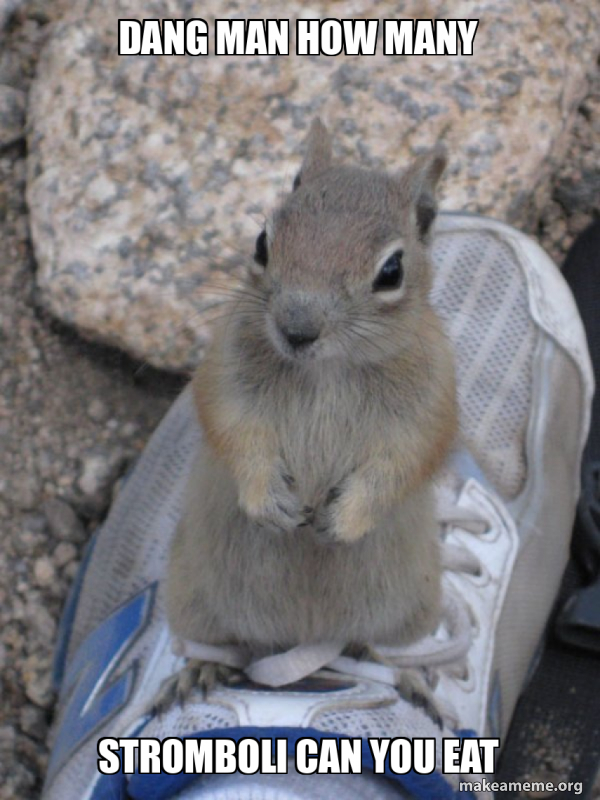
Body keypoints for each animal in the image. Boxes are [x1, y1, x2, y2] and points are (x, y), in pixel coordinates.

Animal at [163, 118, 457, 704]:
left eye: (392, 271)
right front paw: (268, 501)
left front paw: (345, 519)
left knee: (365, 645)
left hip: (413, 610)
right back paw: (200, 671)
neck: (327, 369)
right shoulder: (227, 377)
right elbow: (236, 433)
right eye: (263, 241)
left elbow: (401, 464)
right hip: (190, 597)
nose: (296, 329)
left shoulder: (429, 406)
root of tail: (305, 634)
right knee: (228, 645)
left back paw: (404, 677)